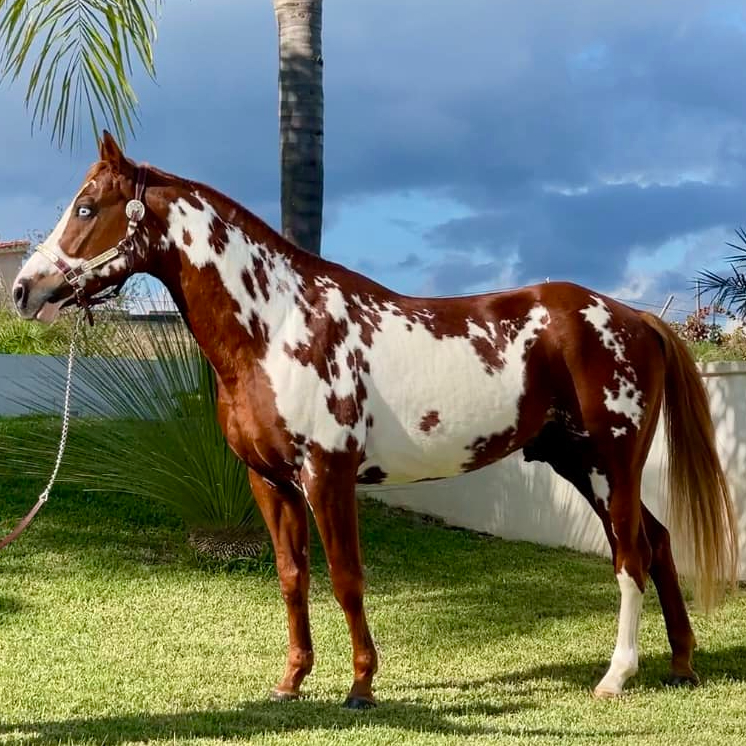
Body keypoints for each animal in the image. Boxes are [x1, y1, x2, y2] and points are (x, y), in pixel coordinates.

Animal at [12, 132, 738, 708]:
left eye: (86, 207)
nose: (24, 289)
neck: (276, 326)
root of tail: (633, 317)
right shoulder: (268, 481)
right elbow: (292, 577)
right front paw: (291, 682)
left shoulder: (327, 475)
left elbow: (346, 578)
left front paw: (361, 685)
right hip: (580, 462)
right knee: (659, 543)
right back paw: (680, 666)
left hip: (612, 461)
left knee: (632, 554)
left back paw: (616, 676)